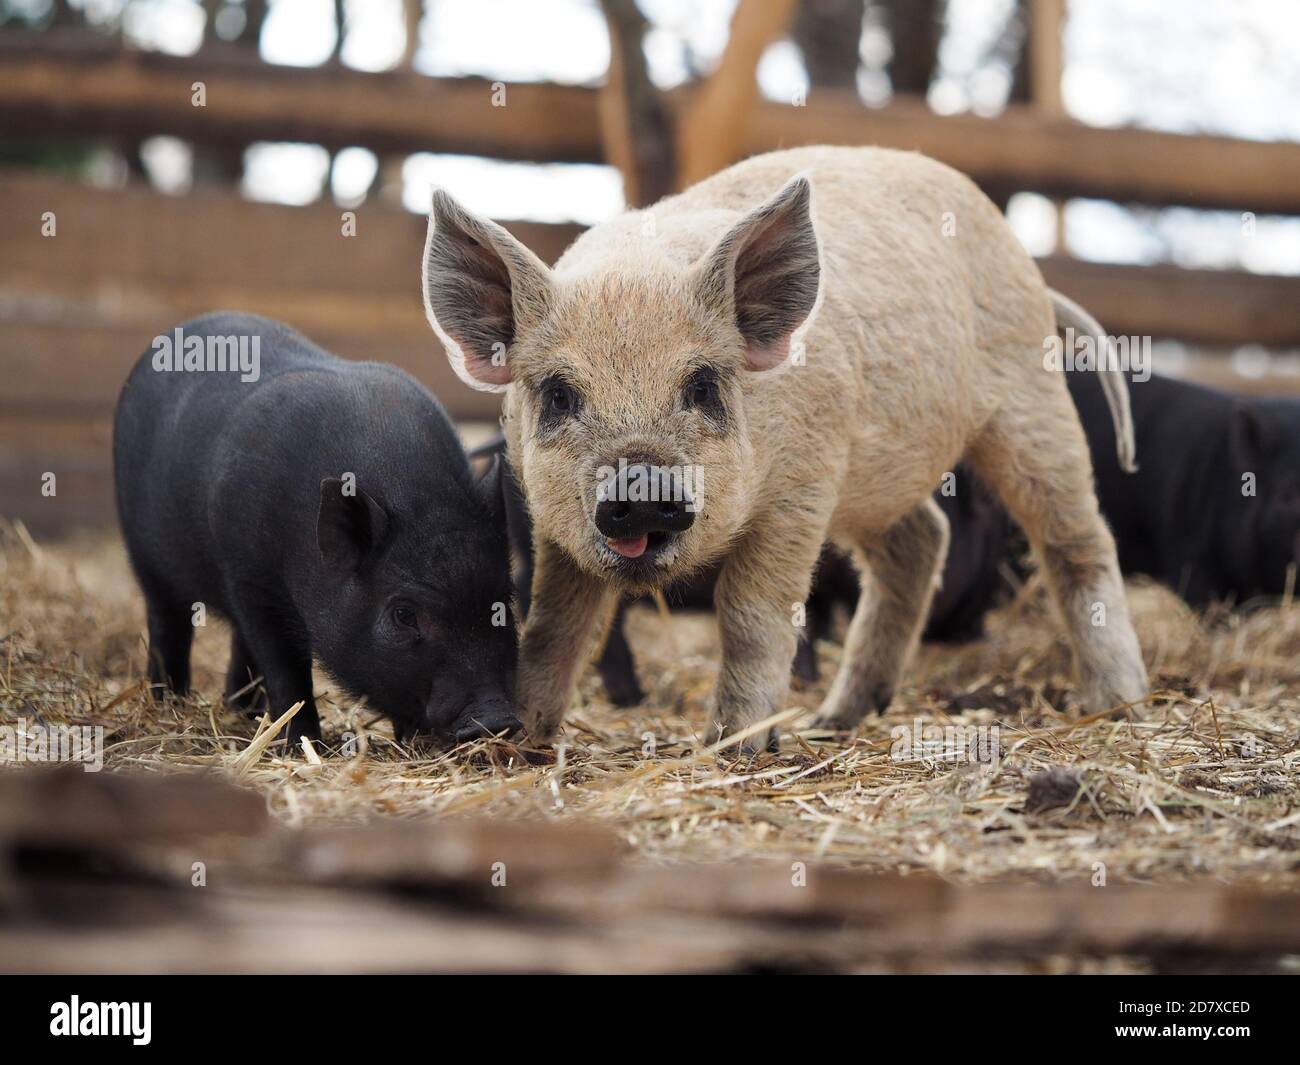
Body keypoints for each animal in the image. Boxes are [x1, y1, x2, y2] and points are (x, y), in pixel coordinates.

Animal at [113, 312, 520, 747]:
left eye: (504, 601)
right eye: (404, 615)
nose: (497, 717)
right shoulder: (253, 583)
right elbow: (285, 669)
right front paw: (302, 744)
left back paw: (243, 712)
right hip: (147, 559)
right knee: (167, 623)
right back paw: (167, 702)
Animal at [422, 145, 1149, 753]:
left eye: (703, 384)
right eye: (558, 394)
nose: (642, 488)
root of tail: (1029, 268)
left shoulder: (804, 484)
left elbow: (752, 616)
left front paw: (734, 746)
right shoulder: (550, 523)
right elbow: (554, 621)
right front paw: (523, 737)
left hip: (1031, 402)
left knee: (1079, 541)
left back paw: (1118, 702)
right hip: (876, 480)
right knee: (921, 541)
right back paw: (836, 718)